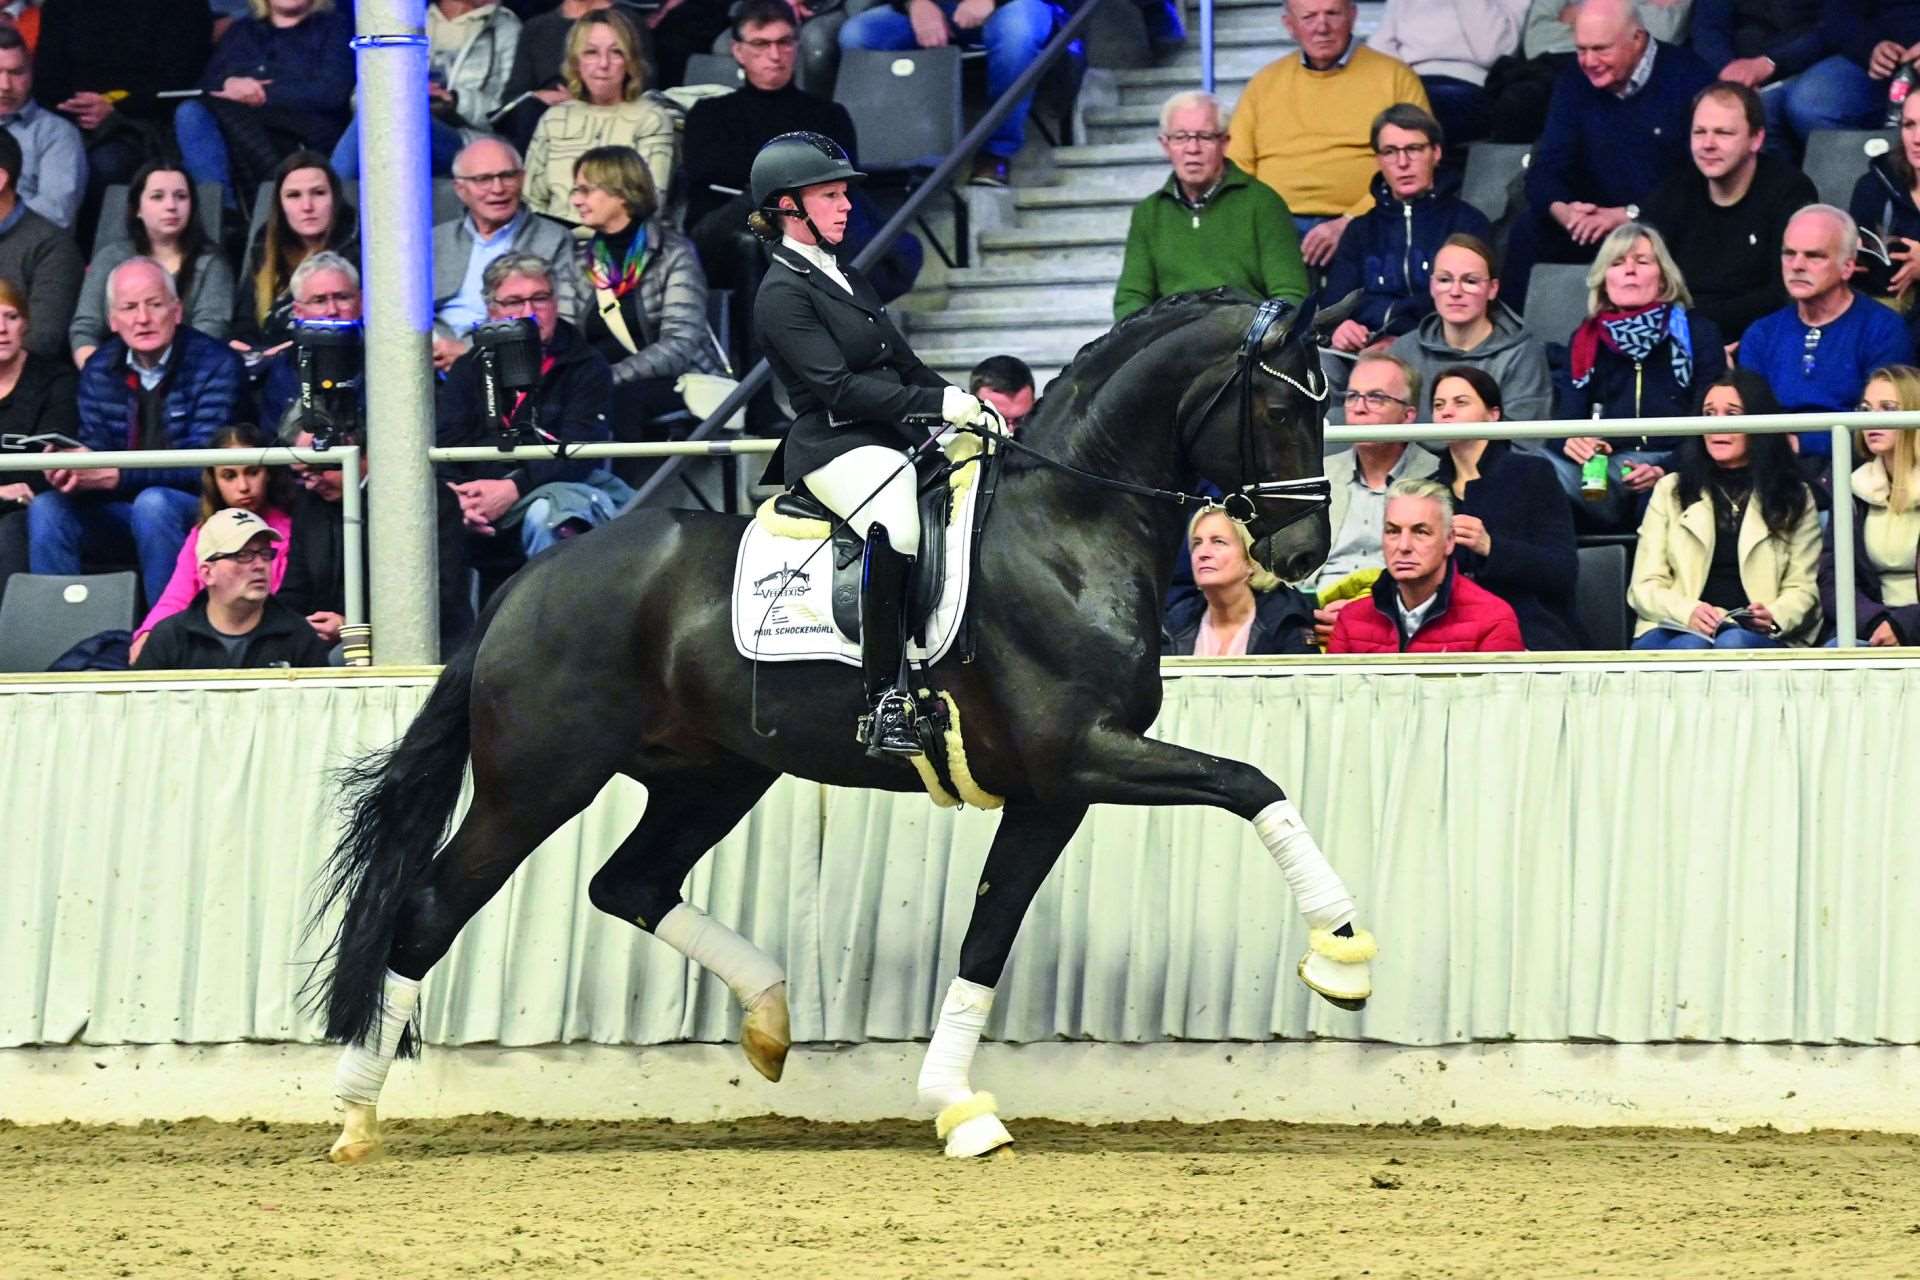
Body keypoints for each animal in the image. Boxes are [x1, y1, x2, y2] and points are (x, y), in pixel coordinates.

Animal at [309, 288, 1378, 1163]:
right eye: (1282, 408)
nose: (1304, 553)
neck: (1069, 528)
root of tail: (527, 582)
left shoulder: (1053, 791)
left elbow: (987, 935)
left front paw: (957, 1107)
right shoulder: (1083, 757)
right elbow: (1252, 784)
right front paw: (1342, 955)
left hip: (711, 777)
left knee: (631, 883)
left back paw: (770, 1019)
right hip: (537, 782)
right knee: (431, 909)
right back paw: (354, 1117)